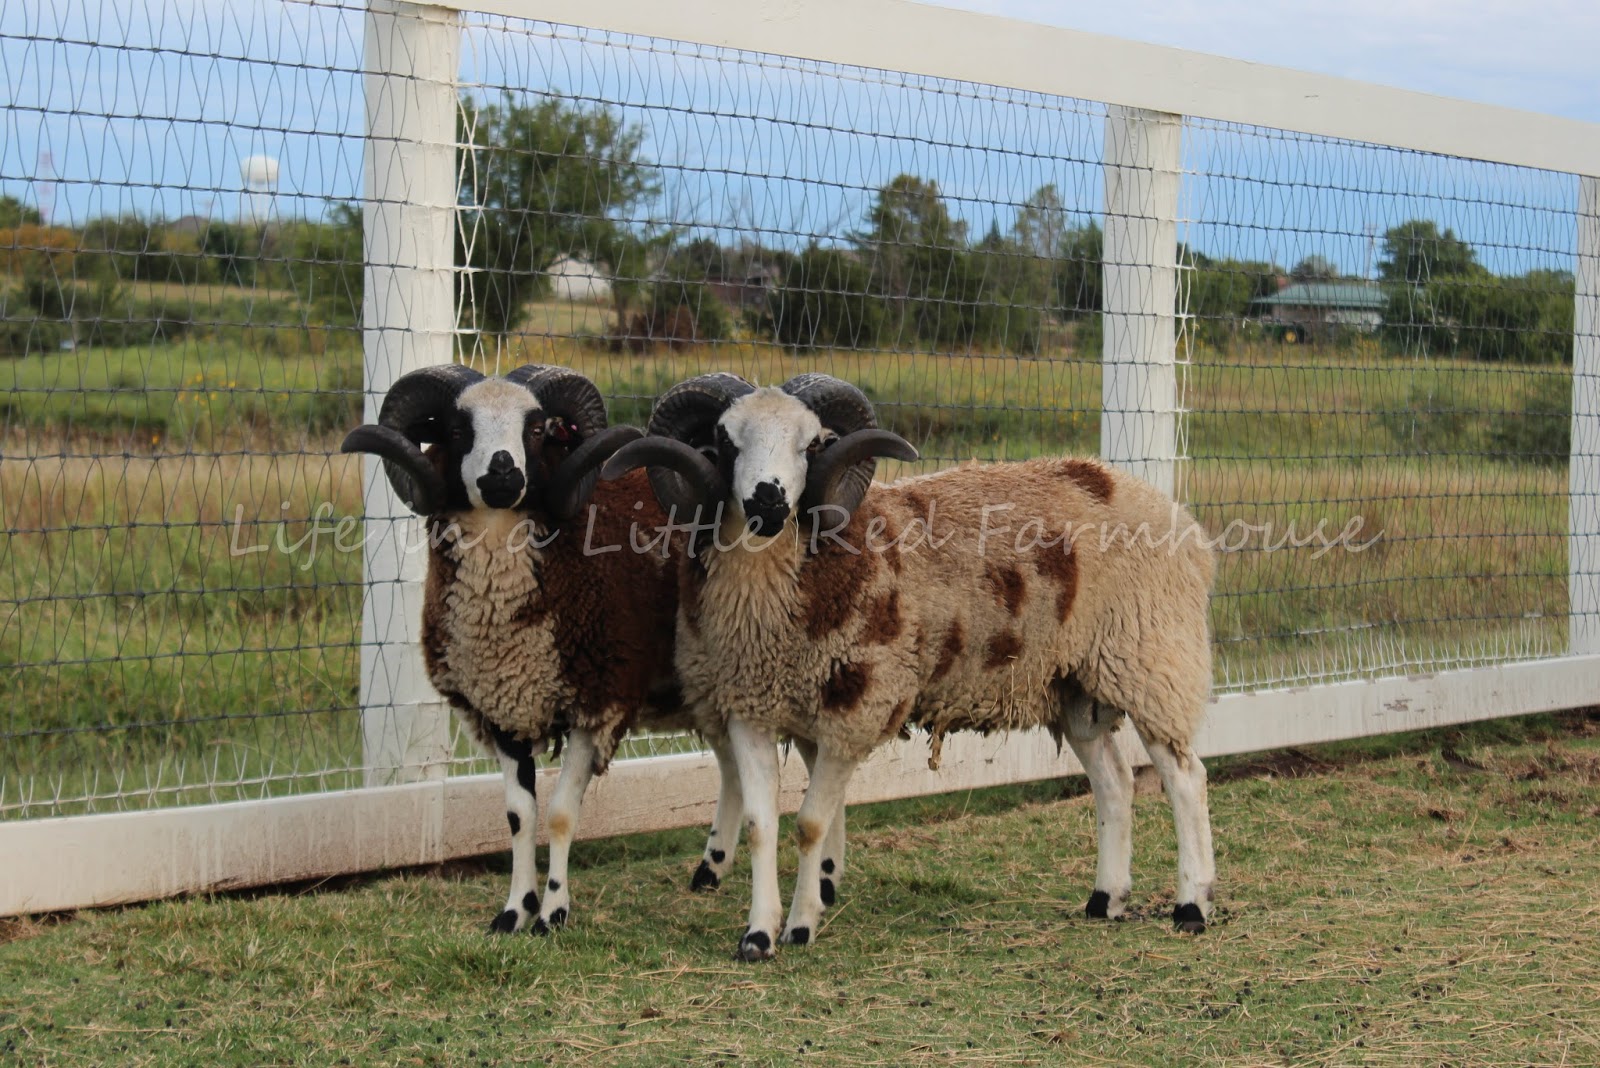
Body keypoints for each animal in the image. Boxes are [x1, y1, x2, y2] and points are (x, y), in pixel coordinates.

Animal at [341, 363, 736, 935]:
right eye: (456, 429)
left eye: (535, 429)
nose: (503, 473)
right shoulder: (502, 705)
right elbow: (519, 816)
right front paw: (514, 912)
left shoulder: (596, 702)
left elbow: (560, 814)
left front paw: (553, 914)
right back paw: (710, 873)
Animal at [602, 372, 1217, 960]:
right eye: (725, 442)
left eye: (813, 443)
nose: (768, 502)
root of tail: (1175, 516)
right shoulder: (749, 707)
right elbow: (761, 827)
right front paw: (757, 936)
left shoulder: (856, 709)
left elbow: (811, 824)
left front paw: (801, 926)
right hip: (1074, 686)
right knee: (1114, 782)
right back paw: (1105, 899)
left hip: (1151, 661)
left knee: (1185, 778)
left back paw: (1192, 905)